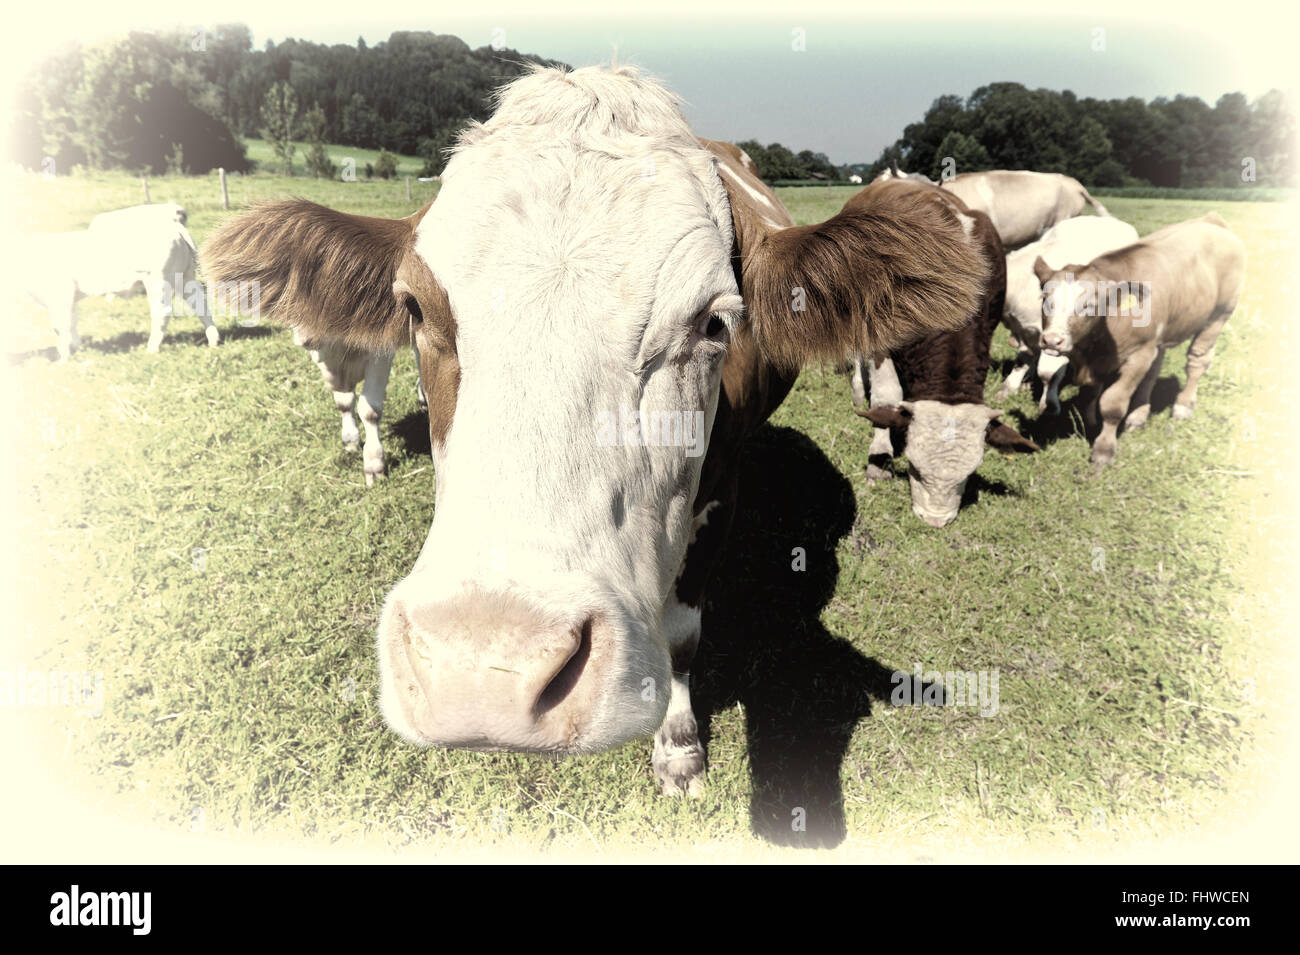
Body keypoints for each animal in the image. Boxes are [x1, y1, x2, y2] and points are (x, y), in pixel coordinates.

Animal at [24, 203, 218, 359]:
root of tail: (173, 225)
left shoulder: (60, 296)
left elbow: (60, 326)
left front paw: (63, 358)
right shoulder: (70, 298)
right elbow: (73, 322)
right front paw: (78, 348)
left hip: (158, 279)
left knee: (162, 312)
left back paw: (151, 349)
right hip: (185, 277)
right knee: (200, 304)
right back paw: (213, 341)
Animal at [202, 65, 990, 796]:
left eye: (714, 322)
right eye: (416, 309)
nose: (482, 671)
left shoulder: (719, 494)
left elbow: (681, 635)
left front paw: (678, 747)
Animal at [997, 215, 1141, 412]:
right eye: (1045, 298)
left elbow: (1048, 372)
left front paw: (1048, 404)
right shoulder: (1026, 331)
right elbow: (1023, 359)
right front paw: (1008, 389)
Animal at [1037, 212, 1246, 465]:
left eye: (1090, 305)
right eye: (1045, 299)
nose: (1052, 340)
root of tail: (1211, 221)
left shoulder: (1138, 355)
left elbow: (1112, 403)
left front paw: (1103, 450)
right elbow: (1089, 395)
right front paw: (1091, 426)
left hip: (1219, 314)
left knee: (1197, 360)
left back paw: (1183, 406)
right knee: (1153, 372)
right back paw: (1138, 417)